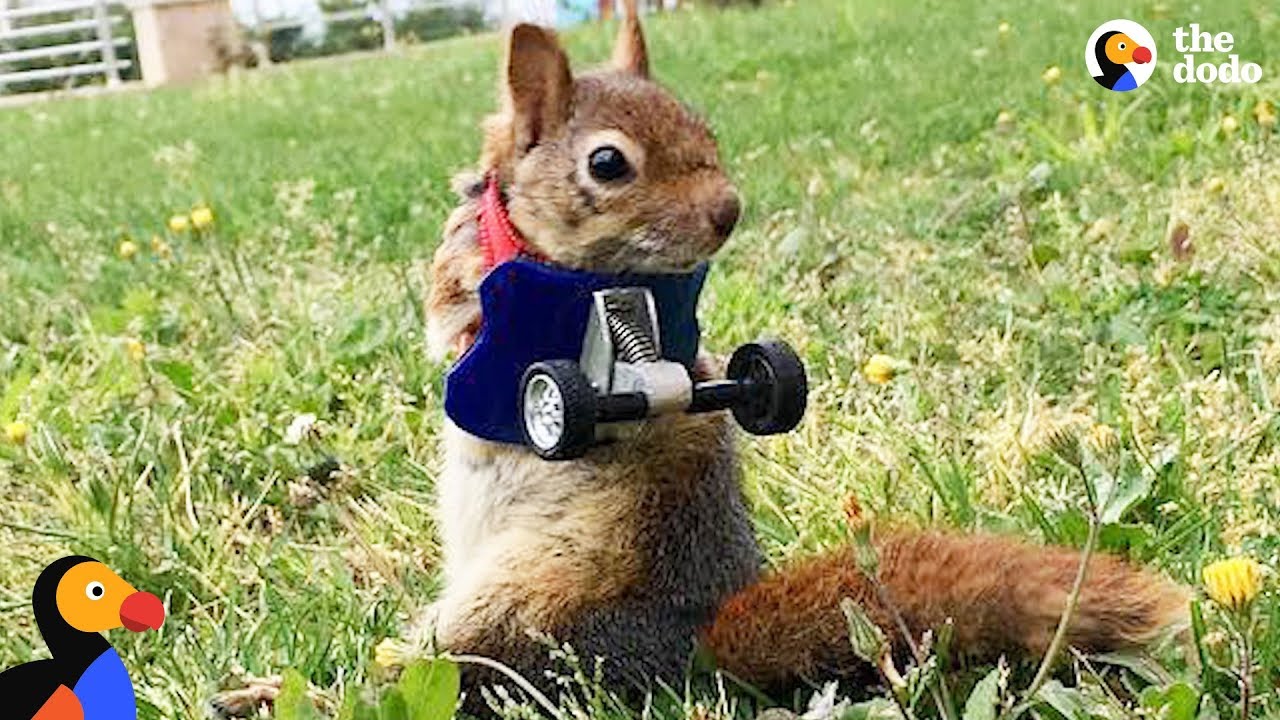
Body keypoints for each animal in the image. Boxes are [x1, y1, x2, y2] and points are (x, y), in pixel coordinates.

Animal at [420, 3, 1188, 711]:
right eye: (606, 164)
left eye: (704, 129)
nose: (727, 209)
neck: (562, 268)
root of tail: (694, 643)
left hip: (526, 605)